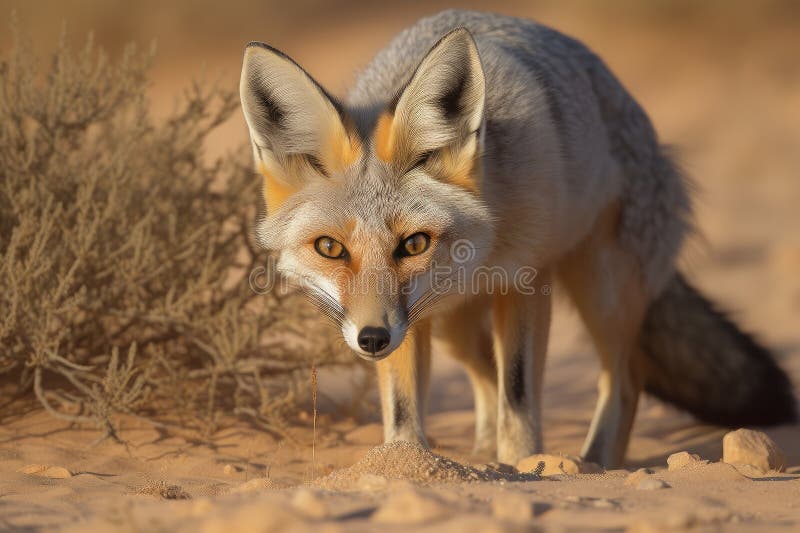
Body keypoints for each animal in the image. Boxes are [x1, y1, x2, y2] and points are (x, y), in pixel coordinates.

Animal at [238, 9, 796, 468]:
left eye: (413, 244)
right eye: (330, 249)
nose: (370, 339)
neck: (487, 234)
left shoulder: (525, 280)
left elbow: (520, 396)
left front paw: (523, 466)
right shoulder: (406, 324)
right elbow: (404, 413)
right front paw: (405, 466)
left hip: (602, 288)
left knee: (627, 377)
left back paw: (594, 463)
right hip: (448, 323)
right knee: (488, 369)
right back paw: (486, 451)